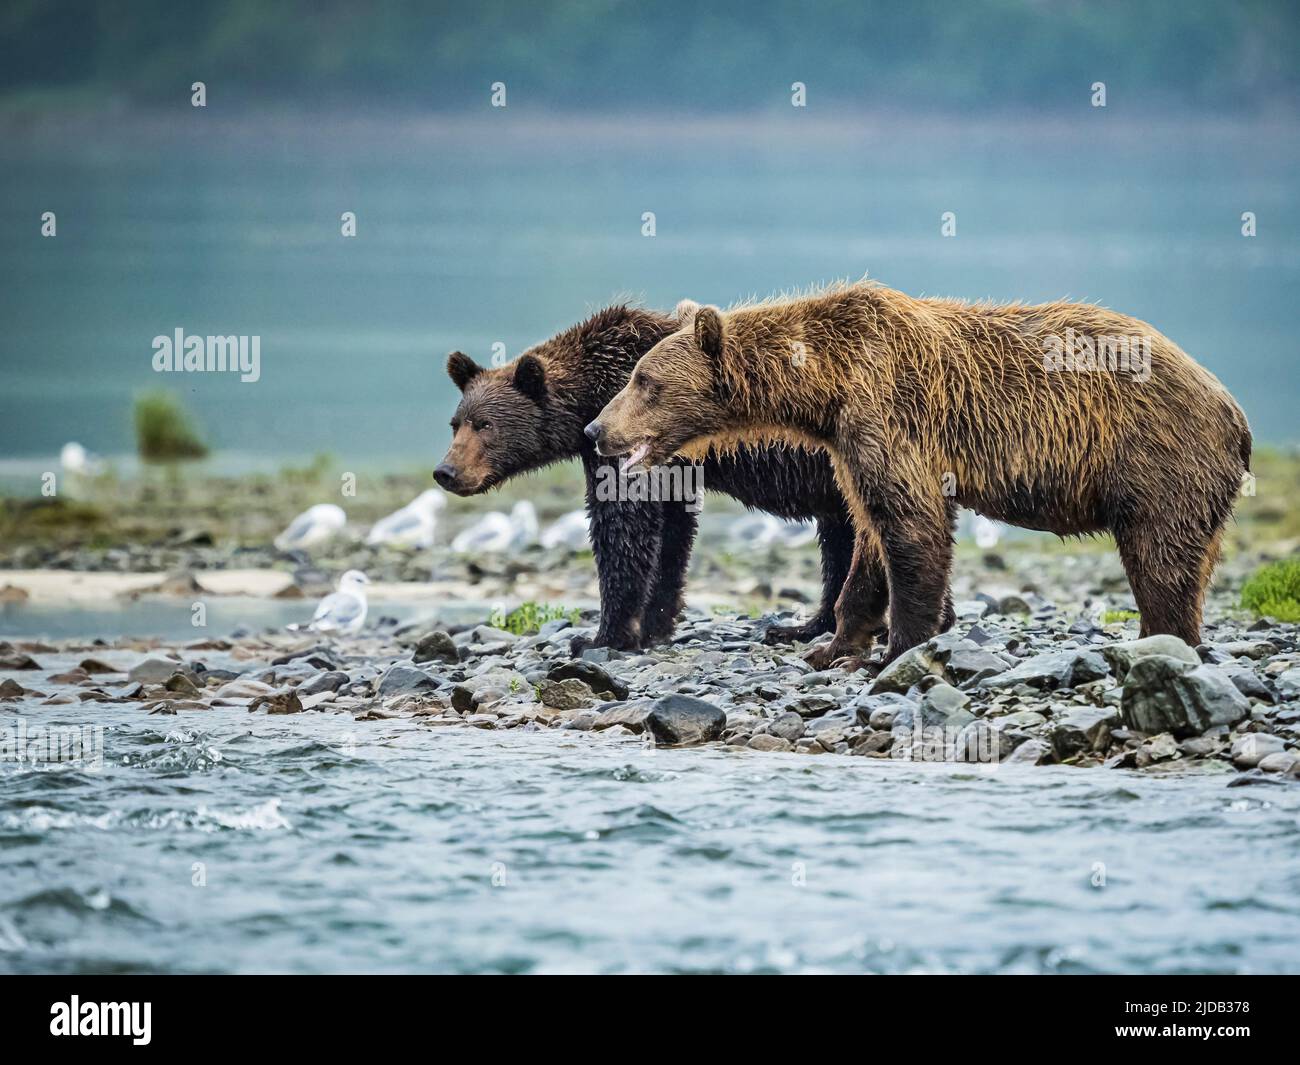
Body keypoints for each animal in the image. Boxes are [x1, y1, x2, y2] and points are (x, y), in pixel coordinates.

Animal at [433, 302, 894, 652]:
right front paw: (654, 624)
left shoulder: (628, 438)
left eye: (486, 425)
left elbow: (622, 524)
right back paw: (806, 626)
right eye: (456, 424)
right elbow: (670, 536)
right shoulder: (672, 469)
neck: (588, 401)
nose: (445, 471)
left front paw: (601, 635)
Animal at [586, 280, 1252, 667]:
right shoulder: (848, 443)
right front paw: (837, 644)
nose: (596, 430)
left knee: (1161, 563)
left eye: (643, 380)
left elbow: (911, 525)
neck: (824, 385)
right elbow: (869, 537)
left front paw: (900, 645)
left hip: (1159, 461)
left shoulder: (891, 414)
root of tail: (1234, 410)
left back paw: (1162, 640)